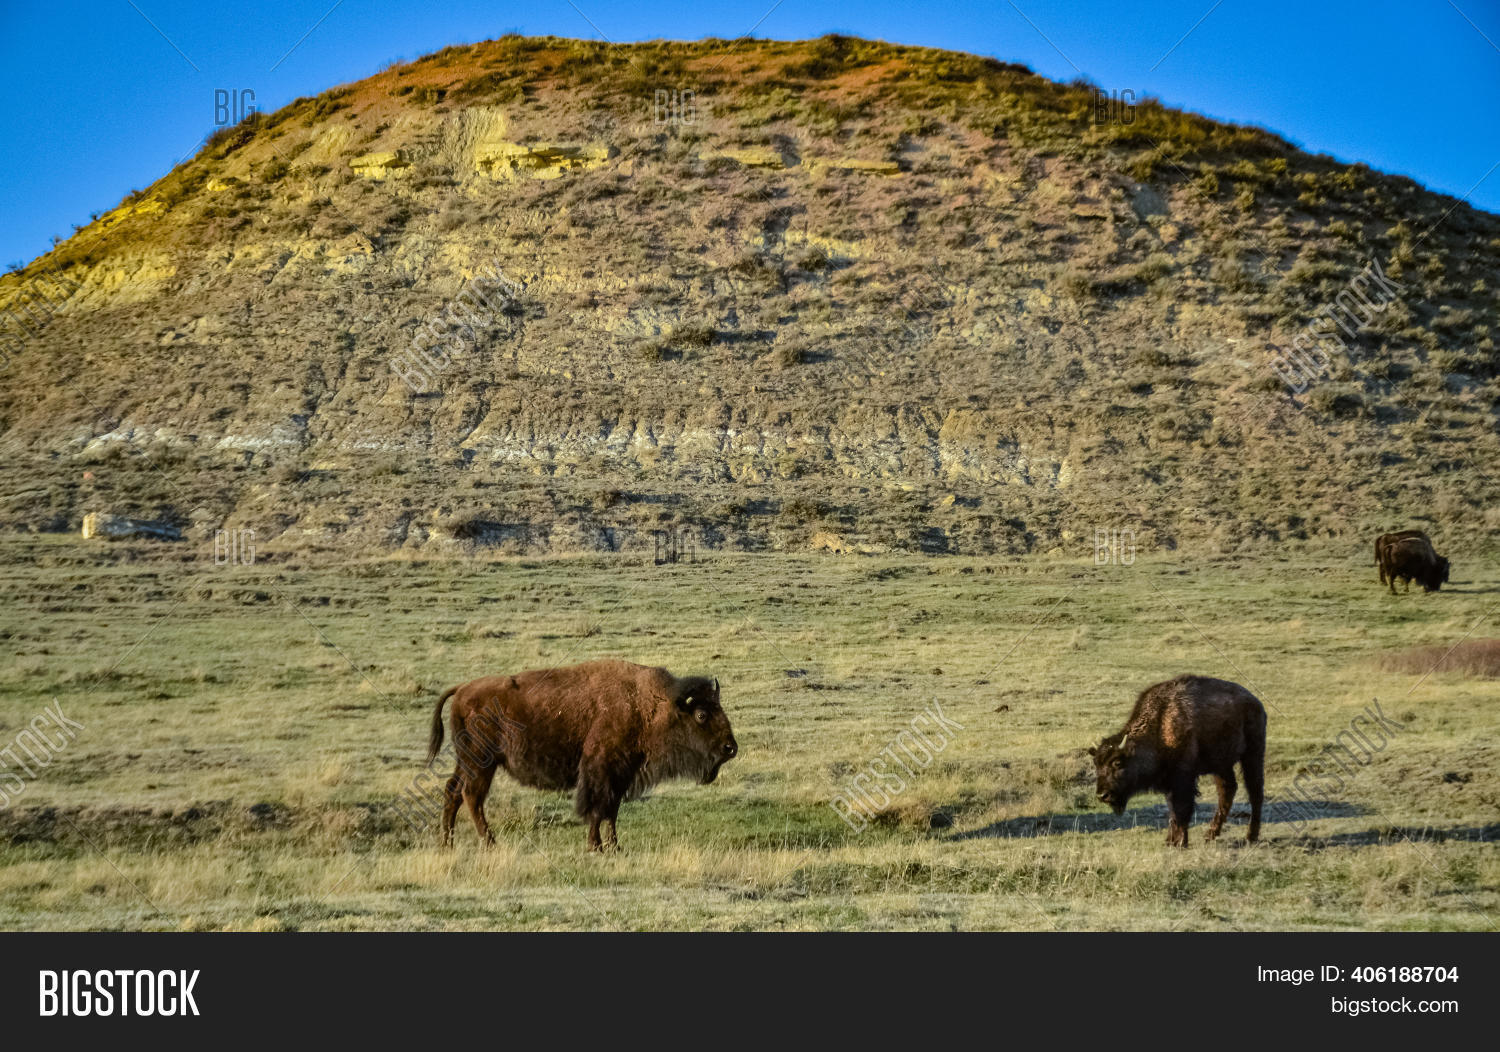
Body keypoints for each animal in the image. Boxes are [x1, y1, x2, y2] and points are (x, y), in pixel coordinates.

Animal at [428, 659, 737, 851]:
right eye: (701, 714)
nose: (730, 748)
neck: (649, 705)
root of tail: (462, 689)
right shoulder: (601, 770)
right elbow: (597, 809)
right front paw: (596, 847)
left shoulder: (621, 774)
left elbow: (612, 810)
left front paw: (615, 847)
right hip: (482, 761)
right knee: (471, 795)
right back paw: (490, 843)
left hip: (466, 761)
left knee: (452, 791)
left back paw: (447, 843)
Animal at [1087, 675, 1266, 847]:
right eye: (1096, 764)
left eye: (1117, 763)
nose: (1102, 795)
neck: (1160, 724)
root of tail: (1256, 702)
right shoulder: (1169, 782)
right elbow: (1172, 810)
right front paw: (1170, 841)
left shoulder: (1183, 779)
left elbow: (1181, 808)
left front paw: (1180, 842)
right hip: (1221, 765)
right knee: (1227, 790)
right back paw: (1210, 834)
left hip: (1253, 754)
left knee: (1255, 793)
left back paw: (1251, 837)